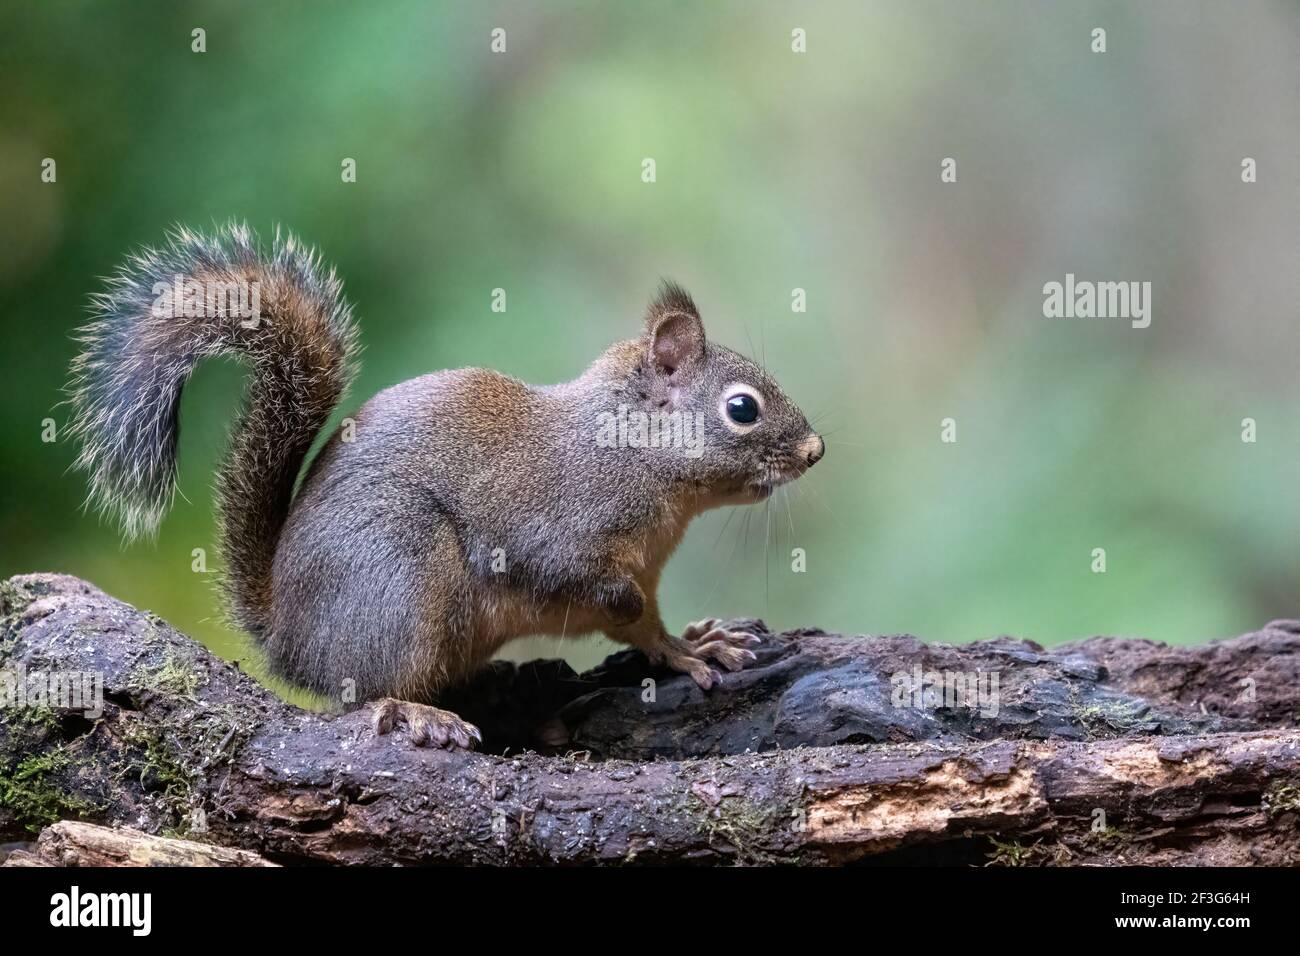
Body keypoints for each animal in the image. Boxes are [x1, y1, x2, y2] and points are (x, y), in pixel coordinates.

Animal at [66, 224, 824, 749]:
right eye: (742, 409)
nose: (817, 451)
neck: (630, 453)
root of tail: (289, 639)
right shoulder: (562, 527)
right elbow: (594, 590)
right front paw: (675, 643)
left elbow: (648, 621)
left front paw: (696, 638)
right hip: (400, 582)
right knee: (362, 694)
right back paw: (417, 711)